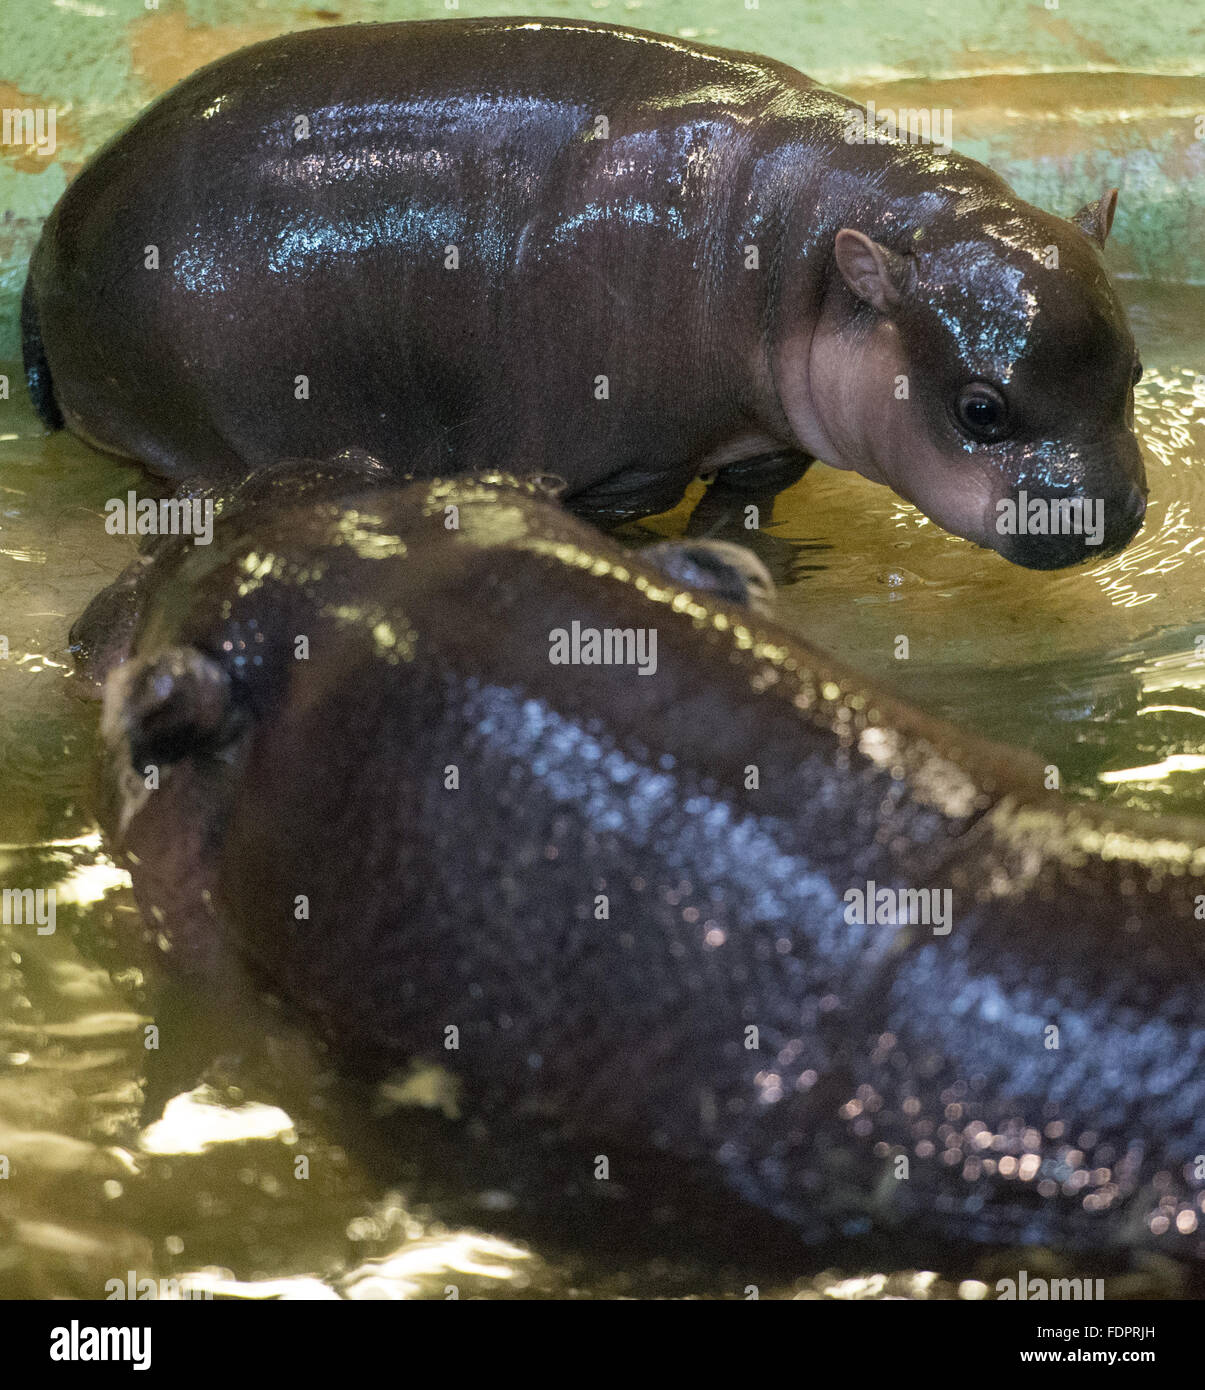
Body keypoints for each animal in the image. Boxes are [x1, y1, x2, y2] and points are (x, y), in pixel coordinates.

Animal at [25, 18, 1146, 568]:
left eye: (1133, 372)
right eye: (980, 408)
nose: (1110, 517)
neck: (799, 252)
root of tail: (51, 238)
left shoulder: (766, 442)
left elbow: (740, 511)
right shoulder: (618, 462)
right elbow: (627, 520)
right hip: (190, 436)